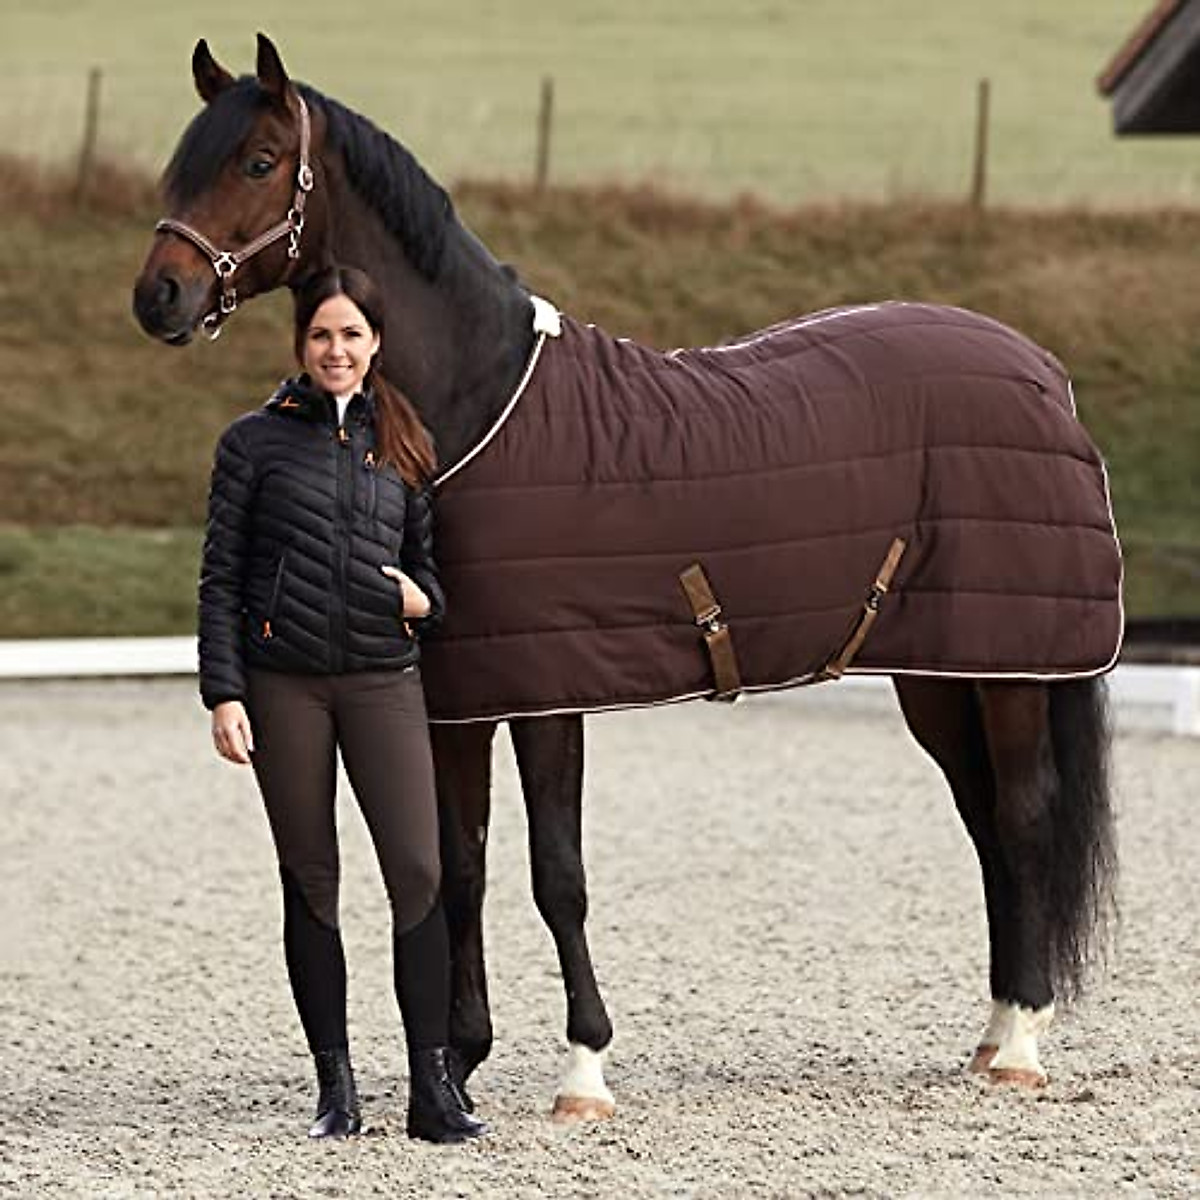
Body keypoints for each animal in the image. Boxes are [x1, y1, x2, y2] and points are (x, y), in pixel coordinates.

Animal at [132, 34, 1120, 1118]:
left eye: (259, 161)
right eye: (183, 161)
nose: (158, 297)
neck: (480, 404)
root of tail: (1044, 373)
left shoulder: (547, 692)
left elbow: (555, 874)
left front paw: (583, 1068)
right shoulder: (462, 698)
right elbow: (463, 866)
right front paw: (461, 1060)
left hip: (1008, 670)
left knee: (1024, 818)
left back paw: (1022, 1045)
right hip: (939, 674)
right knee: (984, 824)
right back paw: (994, 1032)